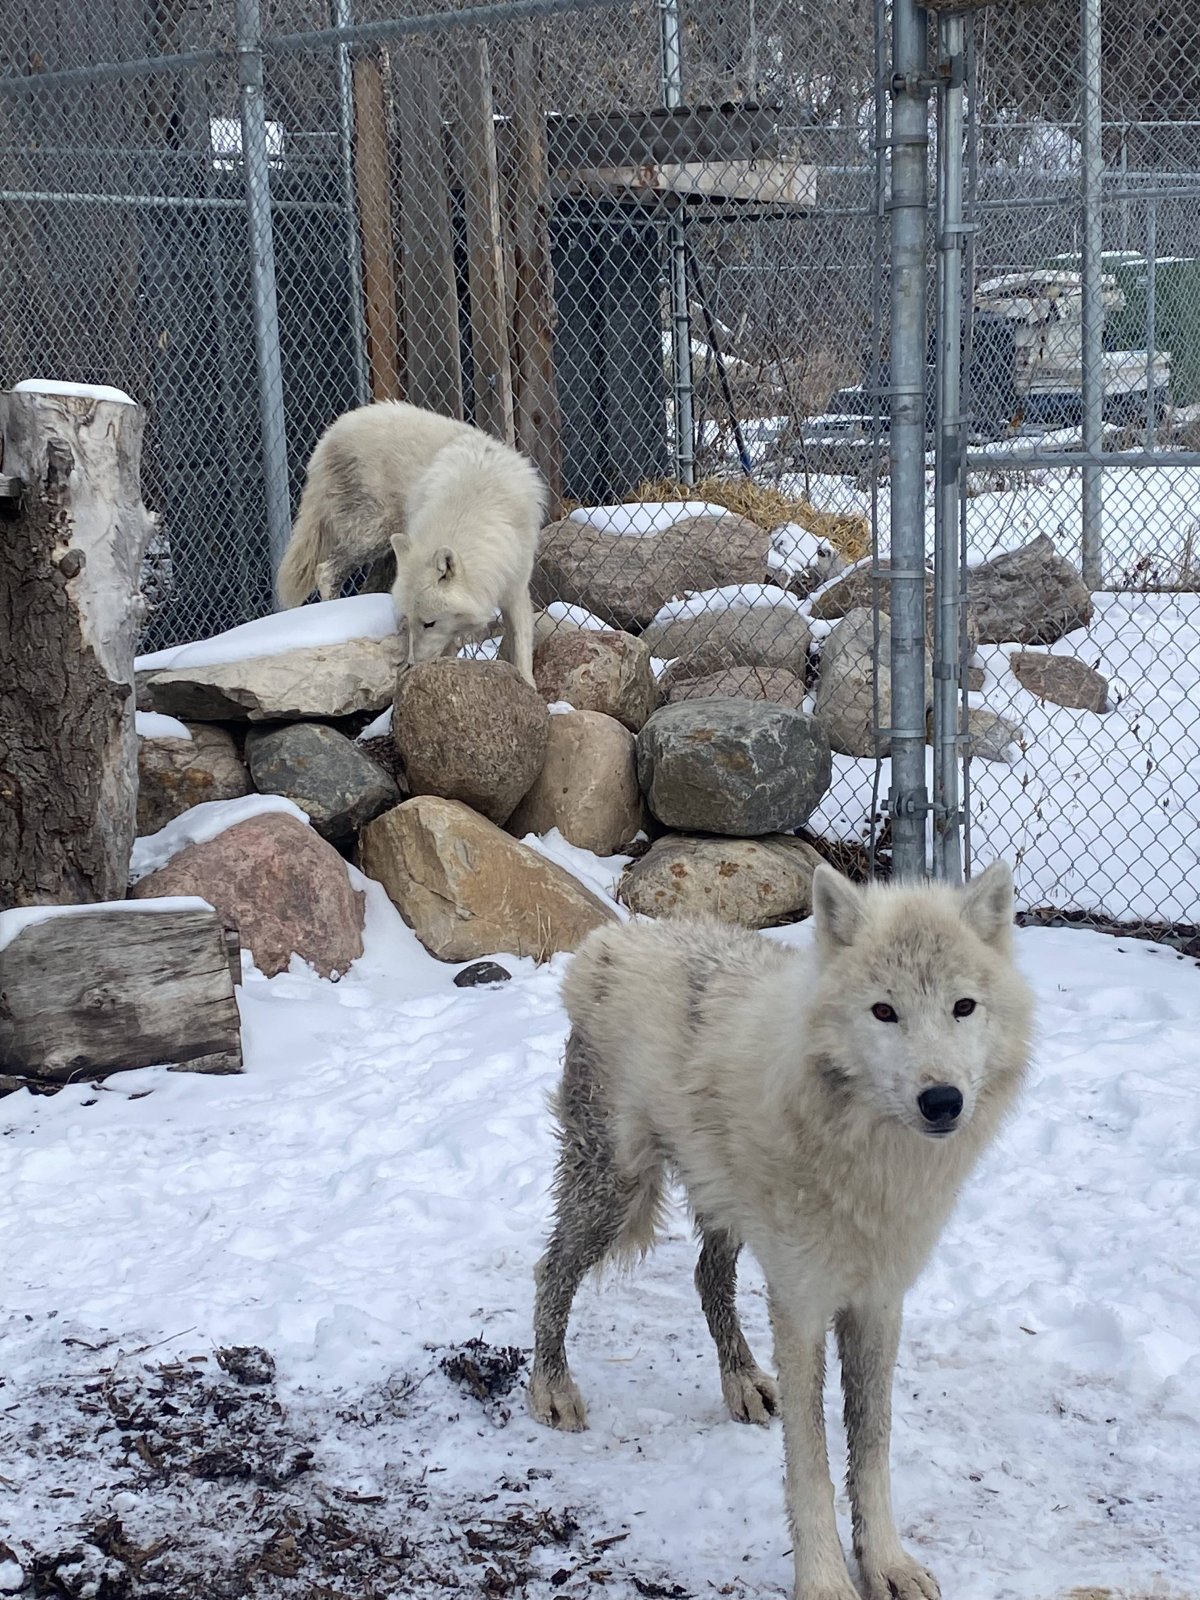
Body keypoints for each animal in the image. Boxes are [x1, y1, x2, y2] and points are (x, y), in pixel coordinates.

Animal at [275, 401, 547, 686]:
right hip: (373, 535)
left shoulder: (515, 585)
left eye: (429, 623)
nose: (413, 665)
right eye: (410, 620)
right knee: (325, 572)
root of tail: (329, 434)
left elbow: (521, 648)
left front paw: (529, 687)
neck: (477, 502)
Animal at [529, 862, 1032, 1600]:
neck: (871, 1160)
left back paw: (741, 1382)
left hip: (725, 1204)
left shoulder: (879, 1301)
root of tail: (614, 940)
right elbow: (813, 1461)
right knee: (550, 1270)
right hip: (614, 1194)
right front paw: (825, 1580)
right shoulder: (801, 1303)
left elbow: (873, 1445)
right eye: (884, 1011)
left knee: (705, 1274)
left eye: (963, 1007)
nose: (942, 1101)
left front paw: (885, 1563)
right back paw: (552, 1389)